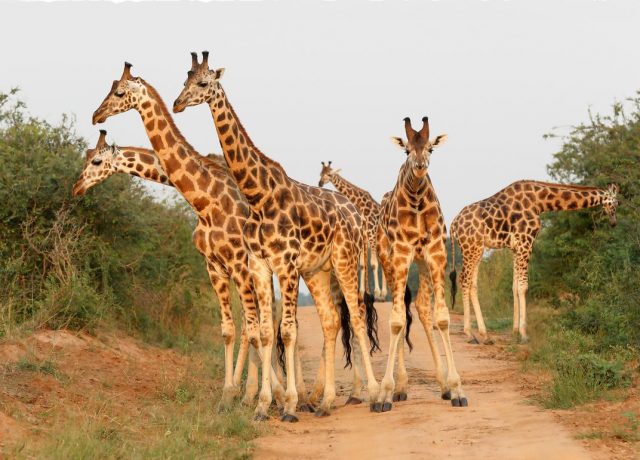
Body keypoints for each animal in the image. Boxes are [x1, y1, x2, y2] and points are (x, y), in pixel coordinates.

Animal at [89, 67, 291, 411]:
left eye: (119, 93)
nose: (96, 114)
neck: (206, 200)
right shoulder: (216, 264)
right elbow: (234, 328)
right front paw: (235, 394)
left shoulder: (238, 263)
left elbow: (249, 327)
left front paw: (254, 395)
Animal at [173, 51, 381, 421]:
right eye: (185, 79)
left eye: (204, 82)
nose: (178, 103)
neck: (258, 194)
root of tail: (355, 214)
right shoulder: (260, 264)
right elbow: (267, 332)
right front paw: (262, 405)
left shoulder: (285, 264)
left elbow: (287, 330)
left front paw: (289, 405)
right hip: (318, 270)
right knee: (330, 320)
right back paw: (326, 402)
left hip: (345, 260)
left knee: (356, 316)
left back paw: (373, 395)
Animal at [318, 162, 388, 300]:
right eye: (321, 174)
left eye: (329, 174)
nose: (320, 183)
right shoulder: (363, 236)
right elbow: (361, 265)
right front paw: (362, 292)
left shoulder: (371, 231)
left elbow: (372, 264)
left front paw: (376, 292)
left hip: (381, 240)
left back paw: (383, 293)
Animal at [375, 116, 468, 411]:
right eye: (406, 150)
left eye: (430, 148)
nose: (419, 166)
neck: (416, 200)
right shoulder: (401, 255)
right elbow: (395, 321)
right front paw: (385, 393)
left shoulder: (436, 253)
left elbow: (442, 317)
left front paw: (456, 388)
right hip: (388, 261)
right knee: (402, 314)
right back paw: (400, 387)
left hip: (423, 264)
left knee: (422, 308)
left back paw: (442, 384)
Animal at [449, 180, 620, 343]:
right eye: (616, 203)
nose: (613, 222)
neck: (540, 202)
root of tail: (454, 223)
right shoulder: (526, 242)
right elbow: (523, 287)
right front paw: (524, 334)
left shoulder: (516, 248)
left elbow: (515, 286)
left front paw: (515, 332)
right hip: (471, 248)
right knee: (464, 280)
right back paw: (469, 334)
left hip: (477, 249)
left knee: (472, 284)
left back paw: (485, 336)